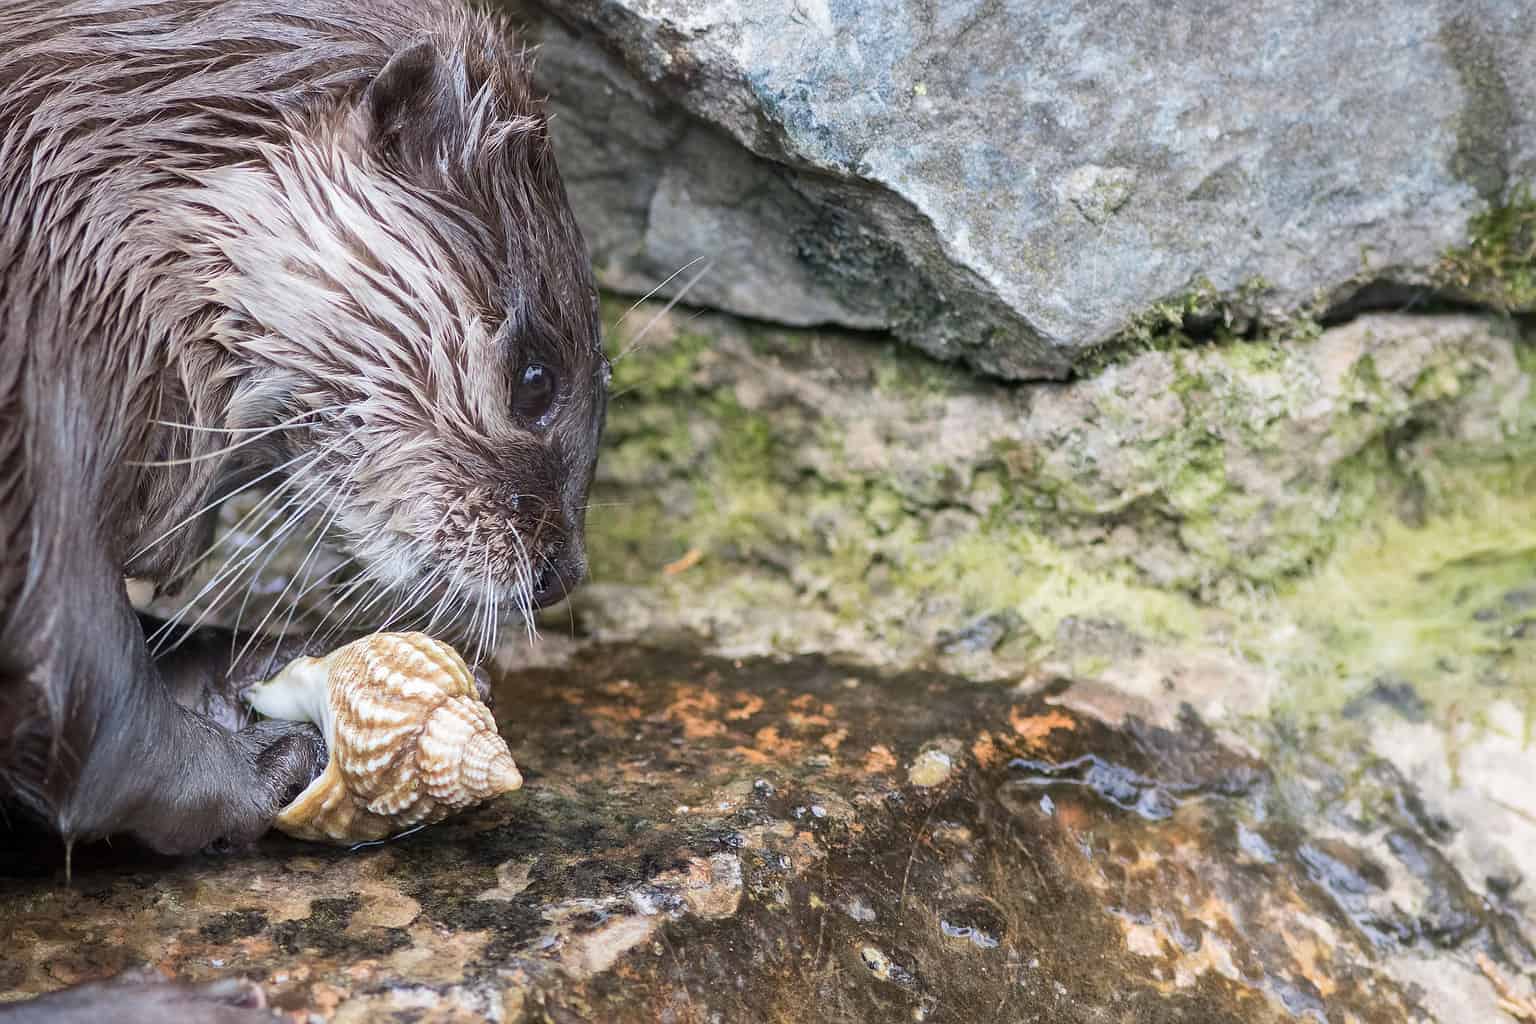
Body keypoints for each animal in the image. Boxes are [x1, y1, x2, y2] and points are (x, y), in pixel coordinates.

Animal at [0, 0, 606, 1015]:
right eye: (535, 380)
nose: (563, 571)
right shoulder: (47, 344)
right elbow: (82, 688)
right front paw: (259, 766)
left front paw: (235, 669)